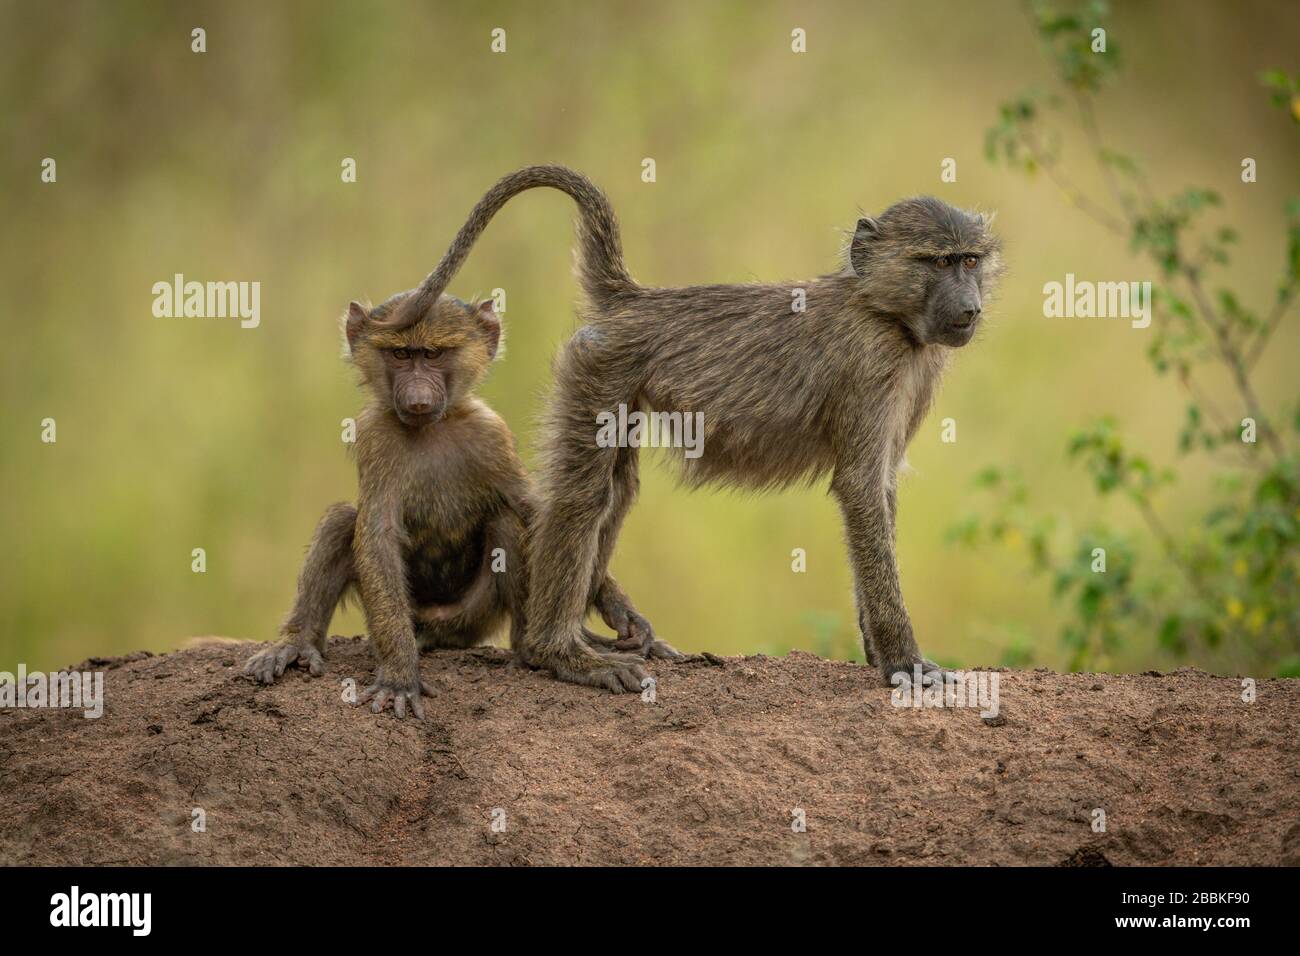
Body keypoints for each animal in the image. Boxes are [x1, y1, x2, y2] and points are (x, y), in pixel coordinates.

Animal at [244, 290, 678, 718]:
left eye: (433, 354)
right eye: (400, 355)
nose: (418, 396)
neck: (431, 428)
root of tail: (434, 627)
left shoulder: (492, 436)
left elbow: (533, 512)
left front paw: (621, 611)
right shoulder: (373, 435)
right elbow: (377, 536)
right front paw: (400, 676)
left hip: (474, 616)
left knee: (504, 522)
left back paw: (530, 650)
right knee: (341, 521)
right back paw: (296, 644)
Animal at [379, 165, 1002, 693]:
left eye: (970, 261)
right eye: (937, 262)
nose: (969, 310)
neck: (885, 312)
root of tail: (633, 301)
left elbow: (881, 496)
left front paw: (878, 652)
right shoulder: (872, 367)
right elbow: (862, 492)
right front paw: (905, 663)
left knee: (616, 490)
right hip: (598, 366)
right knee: (584, 496)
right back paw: (559, 654)